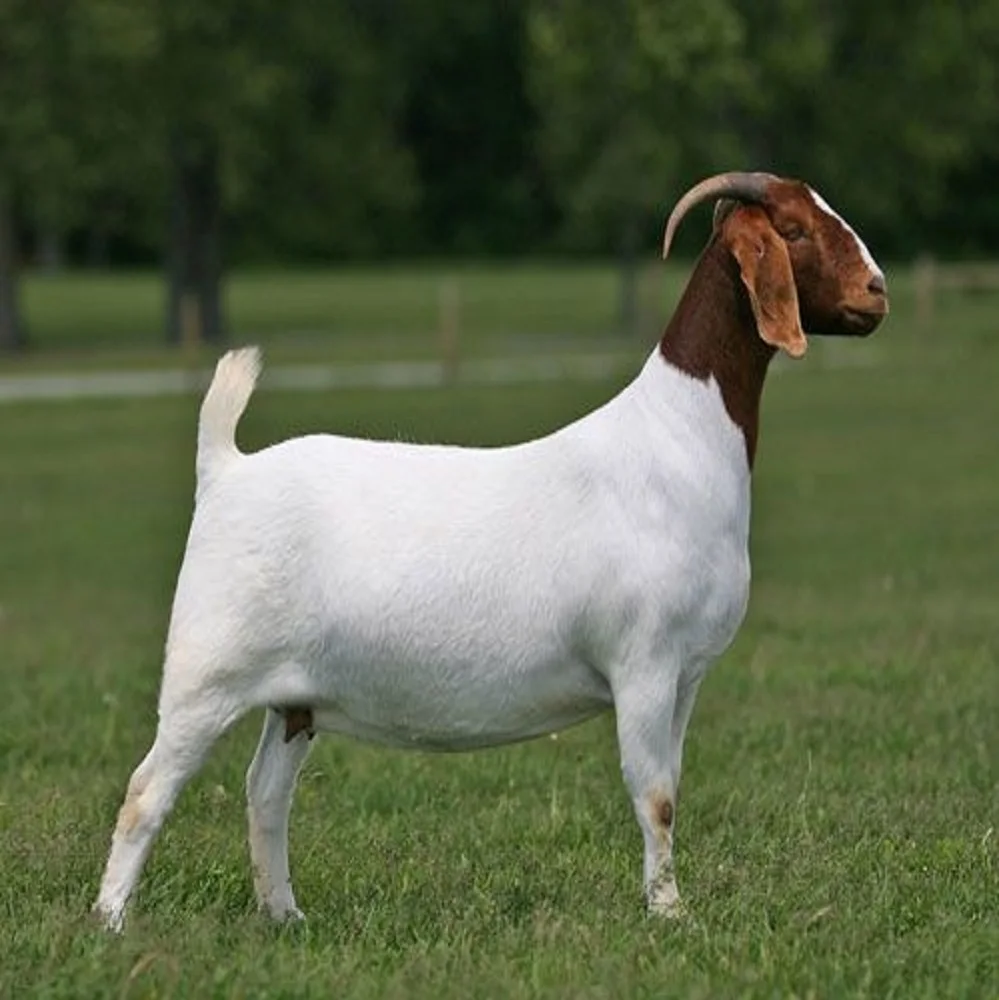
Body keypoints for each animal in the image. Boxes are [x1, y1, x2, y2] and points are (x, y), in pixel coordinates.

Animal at [94, 172, 888, 931]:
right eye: (793, 230)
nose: (876, 293)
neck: (677, 438)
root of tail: (226, 468)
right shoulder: (643, 663)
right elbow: (654, 795)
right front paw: (669, 915)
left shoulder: (684, 675)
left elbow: (672, 788)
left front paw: (664, 904)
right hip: (207, 674)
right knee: (146, 792)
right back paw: (110, 922)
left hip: (293, 699)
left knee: (264, 794)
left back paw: (284, 915)